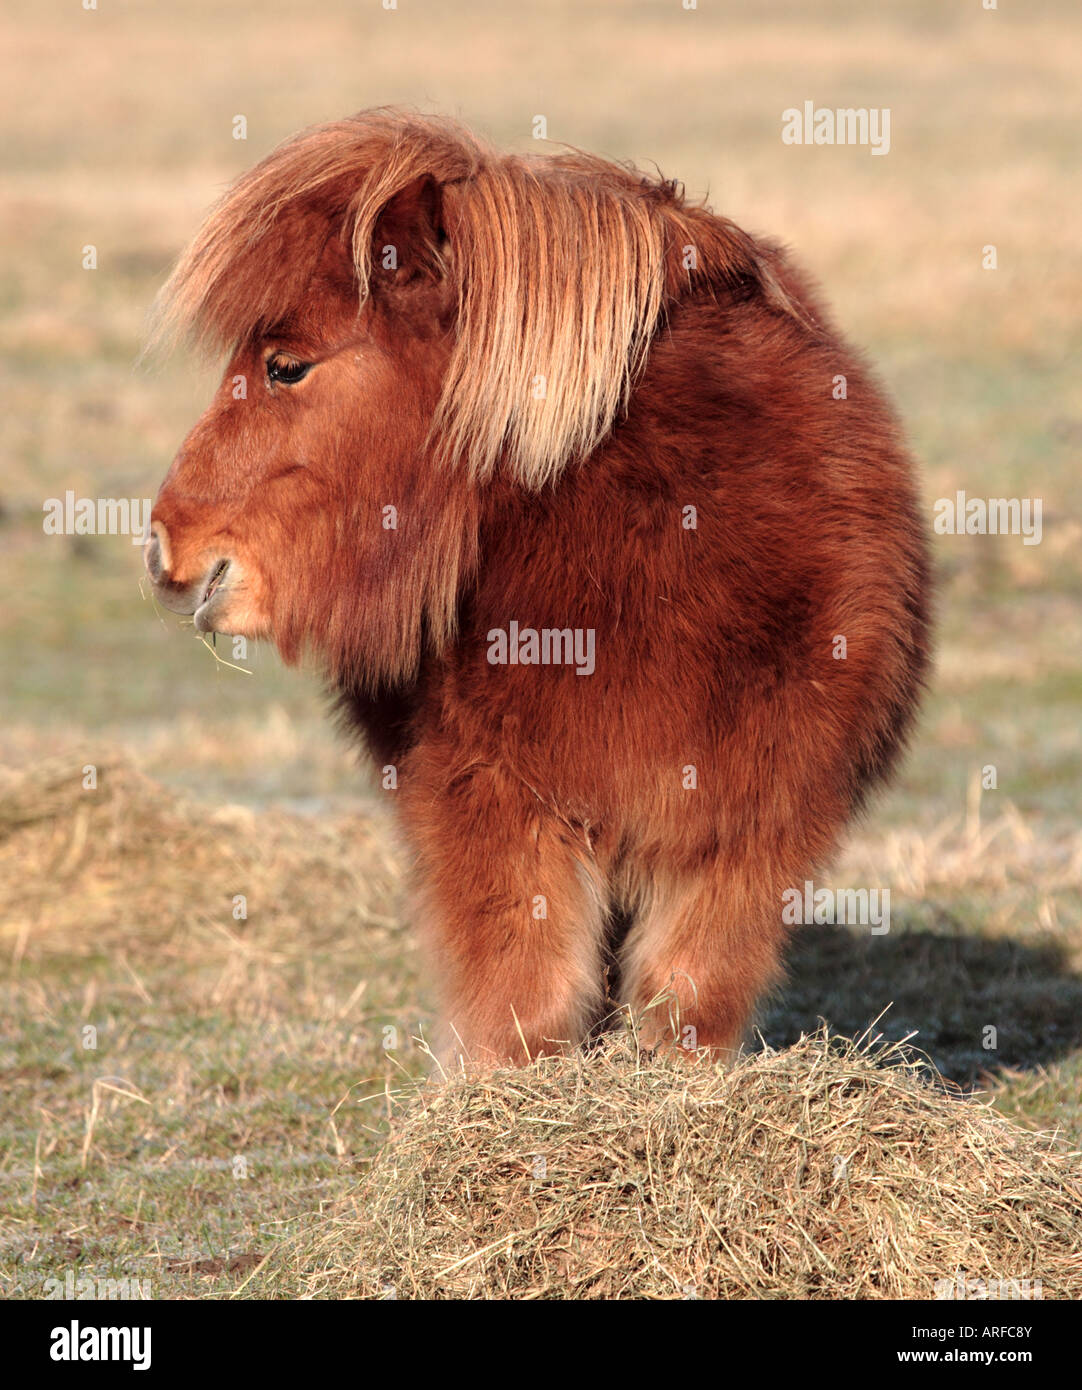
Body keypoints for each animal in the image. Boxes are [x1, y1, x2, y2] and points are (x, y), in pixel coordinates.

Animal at [145, 108, 931, 1067]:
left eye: (286, 365)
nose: (166, 544)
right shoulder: (496, 801)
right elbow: (529, 988)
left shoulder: (754, 818)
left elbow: (689, 988)